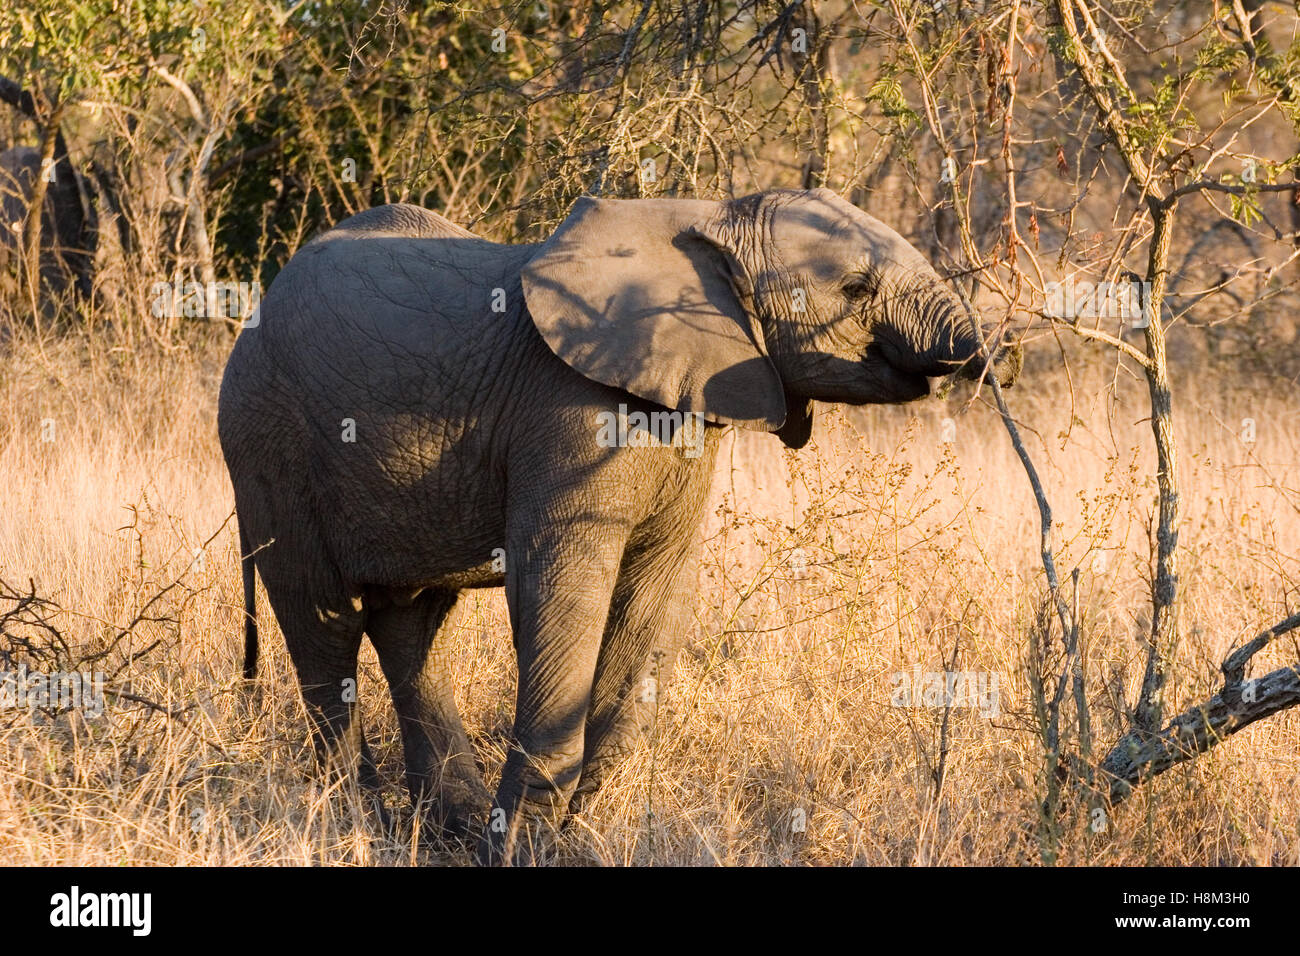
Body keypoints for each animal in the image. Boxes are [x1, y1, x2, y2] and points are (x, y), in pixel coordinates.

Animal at [217, 187, 1020, 864]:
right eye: (856, 289)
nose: (994, 362)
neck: (710, 220)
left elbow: (652, 600)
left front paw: (574, 836)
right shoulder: (568, 415)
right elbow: (560, 593)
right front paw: (527, 852)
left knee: (413, 625)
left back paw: (447, 828)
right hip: (269, 440)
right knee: (323, 622)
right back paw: (358, 824)